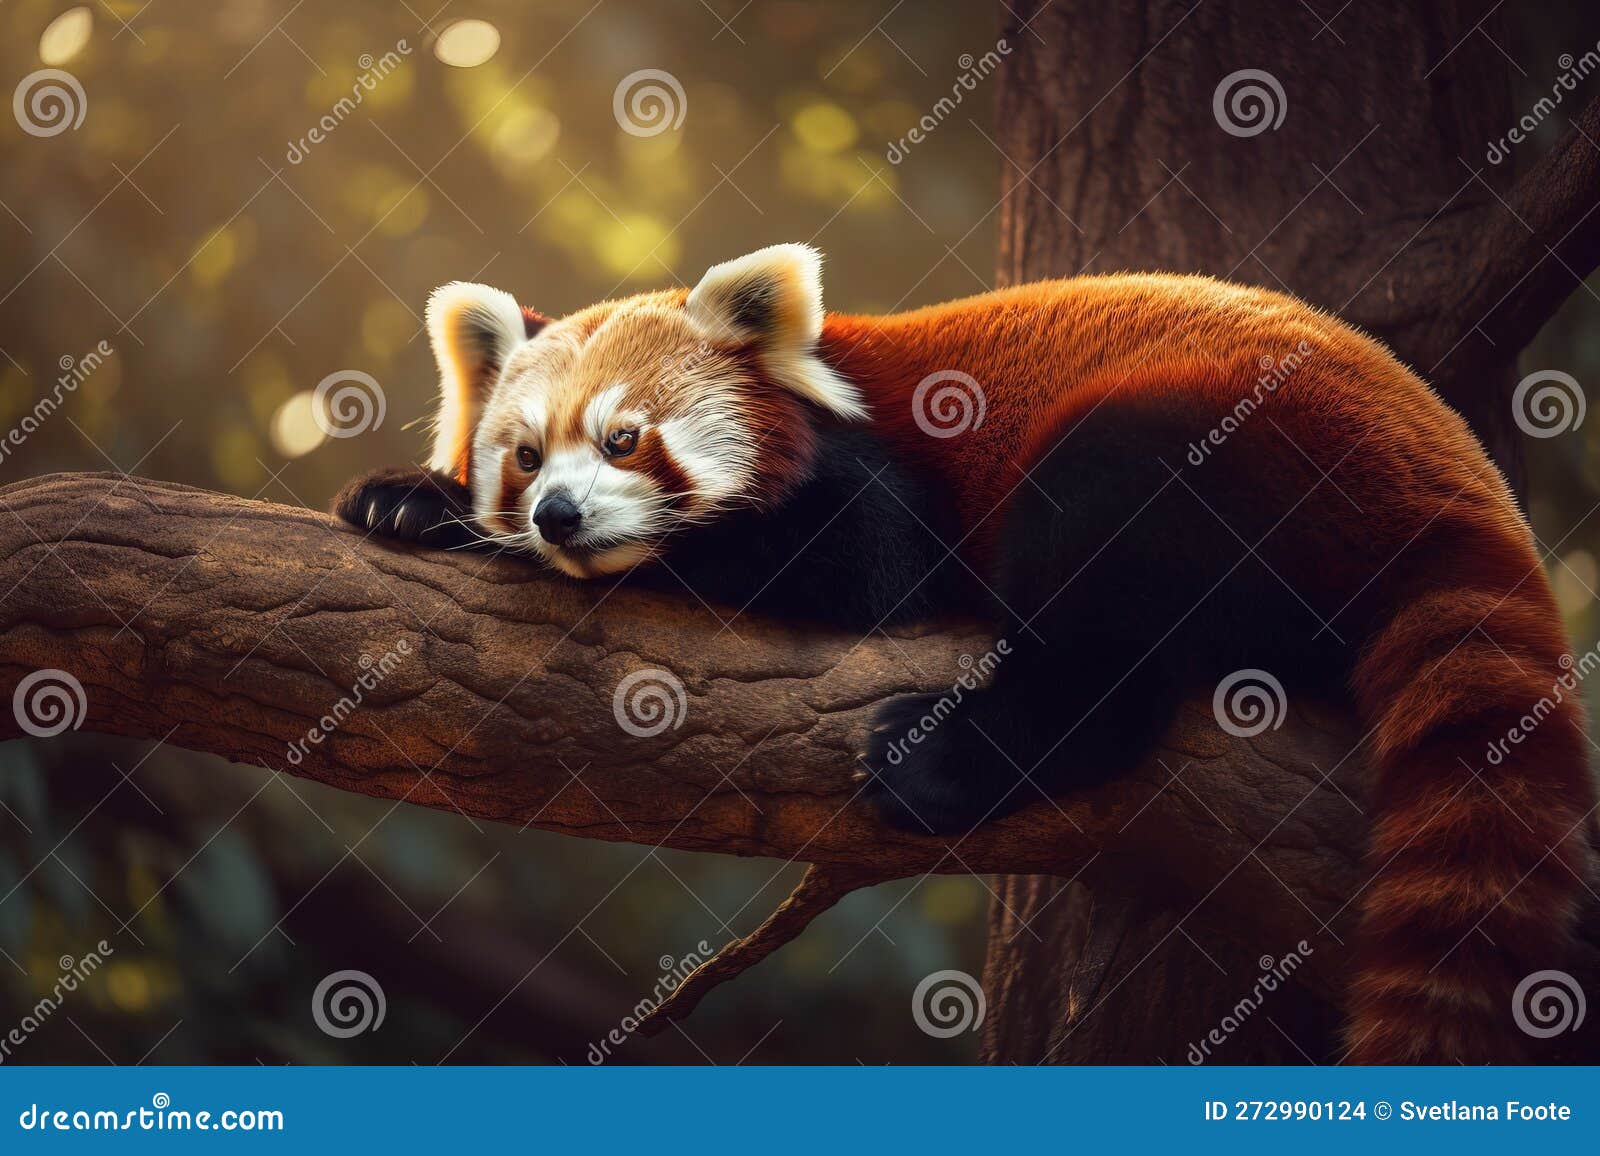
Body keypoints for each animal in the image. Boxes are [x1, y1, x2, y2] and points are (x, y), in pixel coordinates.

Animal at [337, 243, 1595, 1064]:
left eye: (624, 440)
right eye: (523, 455)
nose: (555, 516)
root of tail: (1459, 486)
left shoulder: (885, 488)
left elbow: (862, 560)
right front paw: (414, 501)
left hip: (1230, 437)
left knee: (1101, 589)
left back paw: (951, 757)